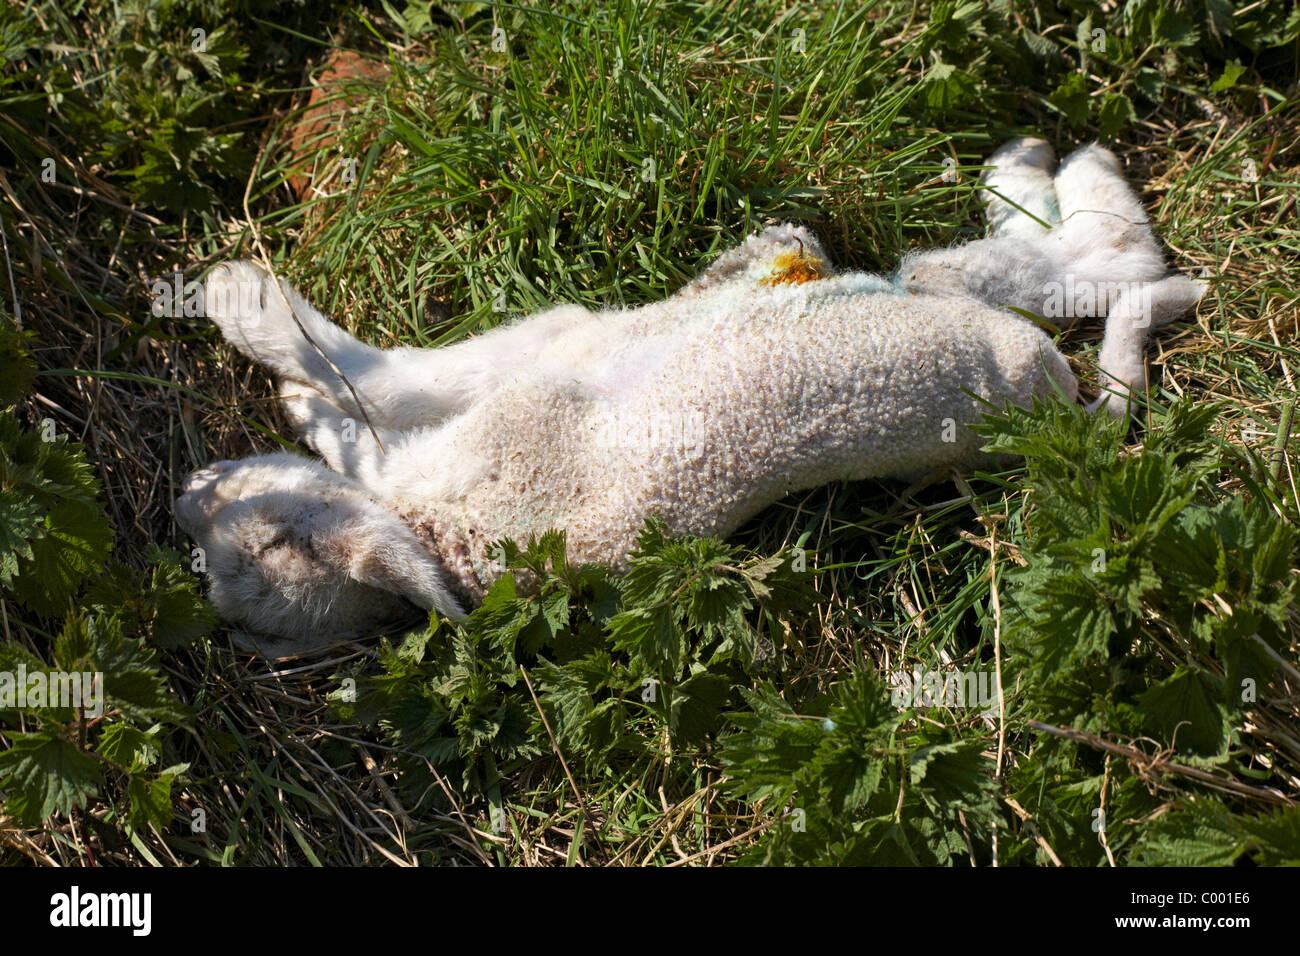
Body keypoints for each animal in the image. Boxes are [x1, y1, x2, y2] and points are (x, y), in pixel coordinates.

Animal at [175, 138, 1205, 657]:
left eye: (272, 536)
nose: (189, 492)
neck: (443, 531)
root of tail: (1060, 412)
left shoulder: (544, 356)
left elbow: (385, 377)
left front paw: (247, 310)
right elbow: (369, 423)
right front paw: (303, 404)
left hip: (966, 304)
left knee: (1105, 259)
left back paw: (1054, 162)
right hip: (967, 311)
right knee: (1089, 271)